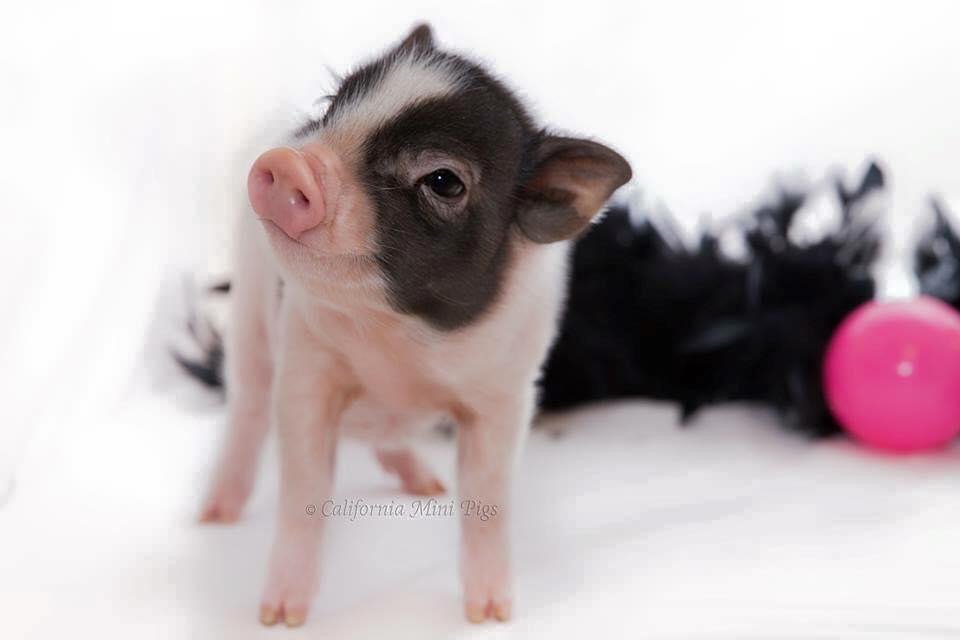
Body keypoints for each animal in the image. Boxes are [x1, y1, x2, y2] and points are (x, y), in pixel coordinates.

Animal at [199, 23, 631, 626]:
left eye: (444, 181)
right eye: (330, 106)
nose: (284, 164)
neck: (400, 338)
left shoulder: (505, 394)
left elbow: (487, 498)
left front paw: (491, 614)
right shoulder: (306, 367)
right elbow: (303, 492)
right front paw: (279, 617)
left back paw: (427, 485)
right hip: (249, 310)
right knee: (249, 405)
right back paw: (216, 514)